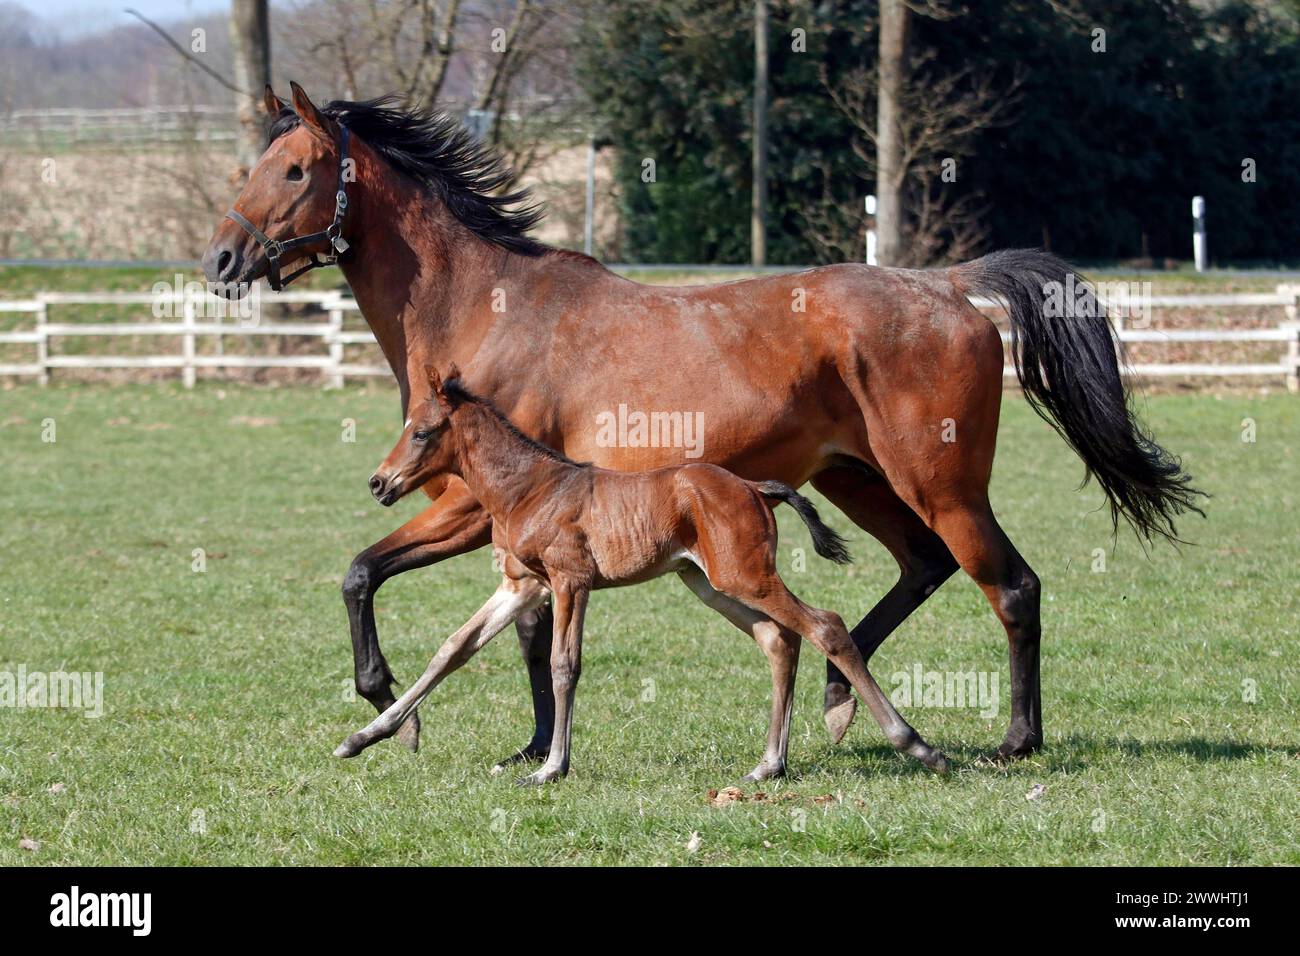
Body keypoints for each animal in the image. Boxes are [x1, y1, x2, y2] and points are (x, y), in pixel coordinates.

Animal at [335, 365, 950, 785]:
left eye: (422, 432)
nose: (378, 482)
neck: (530, 488)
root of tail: (755, 488)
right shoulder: (522, 586)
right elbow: (452, 649)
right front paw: (364, 737)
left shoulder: (570, 582)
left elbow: (564, 665)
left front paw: (551, 768)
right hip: (707, 582)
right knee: (778, 638)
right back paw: (768, 765)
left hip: (745, 575)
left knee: (824, 625)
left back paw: (916, 745)